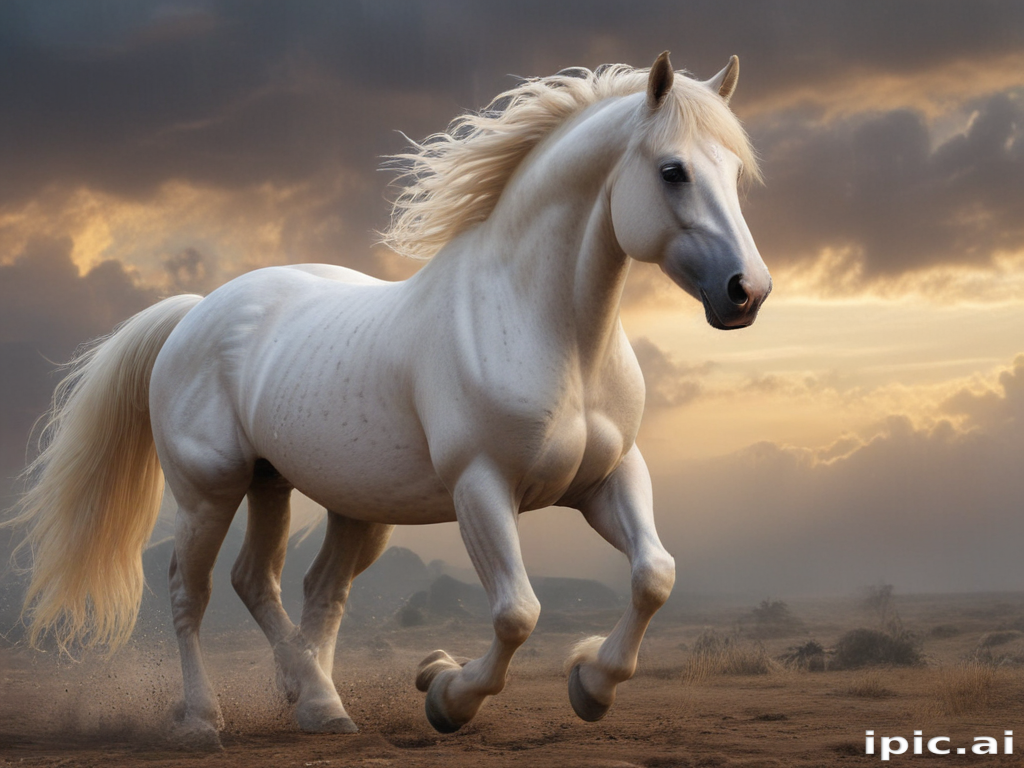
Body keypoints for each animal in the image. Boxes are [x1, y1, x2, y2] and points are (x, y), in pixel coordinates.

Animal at [7, 52, 770, 747]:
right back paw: (205, 720)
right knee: (190, 592)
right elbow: (516, 612)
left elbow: (654, 576)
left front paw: (590, 683)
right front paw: (446, 694)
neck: (551, 333)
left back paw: (319, 704)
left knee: (286, 585)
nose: (748, 292)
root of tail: (195, 311)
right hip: (209, 490)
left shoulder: (607, 478)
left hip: (302, 491)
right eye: (672, 171)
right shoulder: (481, 488)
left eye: (736, 175)